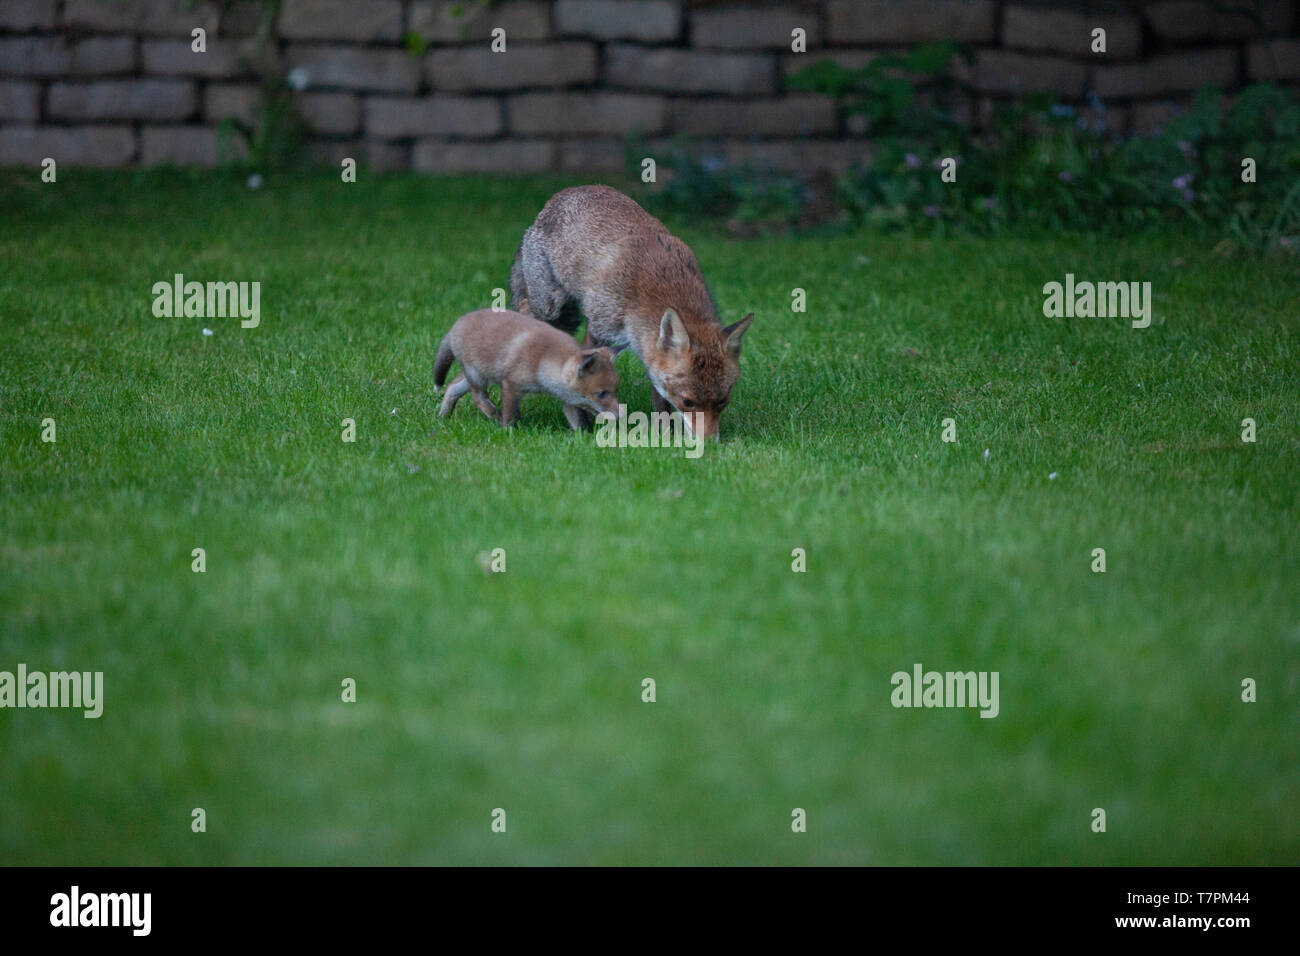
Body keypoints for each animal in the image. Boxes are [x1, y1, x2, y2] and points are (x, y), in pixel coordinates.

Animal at [433, 308, 619, 429]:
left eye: (616, 391)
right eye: (601, 394)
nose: (620, 415)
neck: (543, 360)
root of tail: (457, 322)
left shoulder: (567, 397)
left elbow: (578, 423)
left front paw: (585, 439)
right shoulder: (510, 384)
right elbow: (511, 415)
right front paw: (509, 432)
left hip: (478, 375)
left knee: (452, 387)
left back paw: (443, 417)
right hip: (476, 376)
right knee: (478, 397)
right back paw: (495, 416)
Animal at [509, 185, 753, 441]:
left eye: (723, 401)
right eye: (687, 401)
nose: (709, 444)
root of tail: (559, 196)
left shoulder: (648, 347)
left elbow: (659, 395)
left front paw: (664, 432)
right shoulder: (599, 328)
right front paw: (584, 425)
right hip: (551, 306)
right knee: (526, 309)